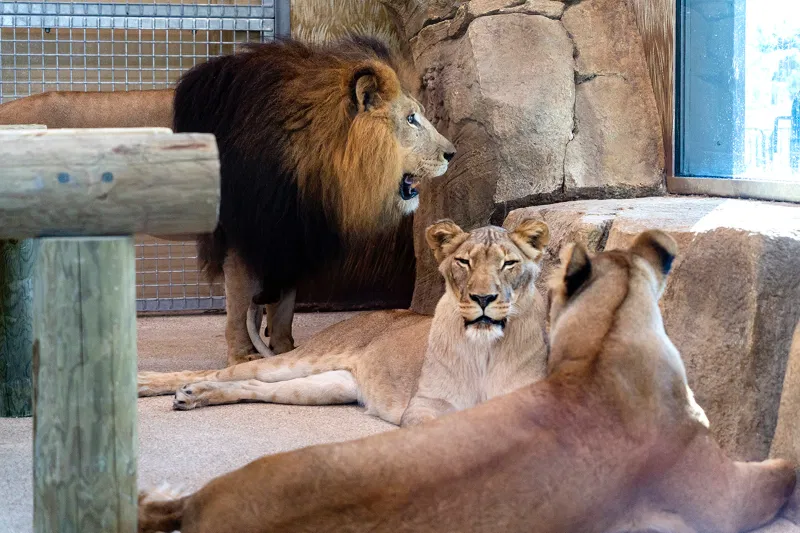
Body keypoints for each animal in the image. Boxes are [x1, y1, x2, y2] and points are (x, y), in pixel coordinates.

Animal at [0, 36, 454, 366]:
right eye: (411, 119)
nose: (452, 153)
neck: (315, 152)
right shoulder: (244, 236)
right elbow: (238, 304)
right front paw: (242, 356)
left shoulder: (285, 235)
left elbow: (284, 307)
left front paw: (286, 351)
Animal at [137, 218, 551, 427]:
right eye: (464, 262)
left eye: (509, 263)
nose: (483, 299)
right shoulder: (425, 408)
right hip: (304, 359)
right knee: (225, 371)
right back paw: (155, 384)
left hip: (327, 385)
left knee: (253, 385)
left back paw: (196, 395)